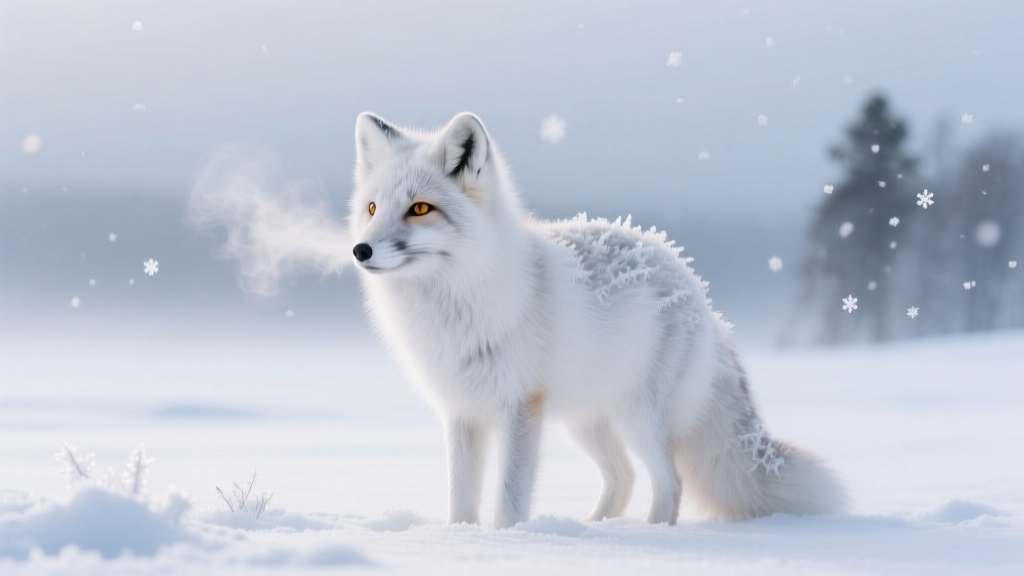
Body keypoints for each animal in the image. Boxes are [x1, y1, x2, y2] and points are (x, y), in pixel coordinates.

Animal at [348, 112, 846, 529]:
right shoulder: (461, 412)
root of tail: (699, 293)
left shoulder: (520, 407)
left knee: (670, 480)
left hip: (637, 419)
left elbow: (509, 500)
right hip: (586, 423)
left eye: (420, 208)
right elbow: (460, 499)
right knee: (623, 478)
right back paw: (595, 528)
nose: (360, 250)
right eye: (372, 209)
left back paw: (655, 535)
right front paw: (460, 539)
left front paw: (507, 541)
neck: (457, 302)